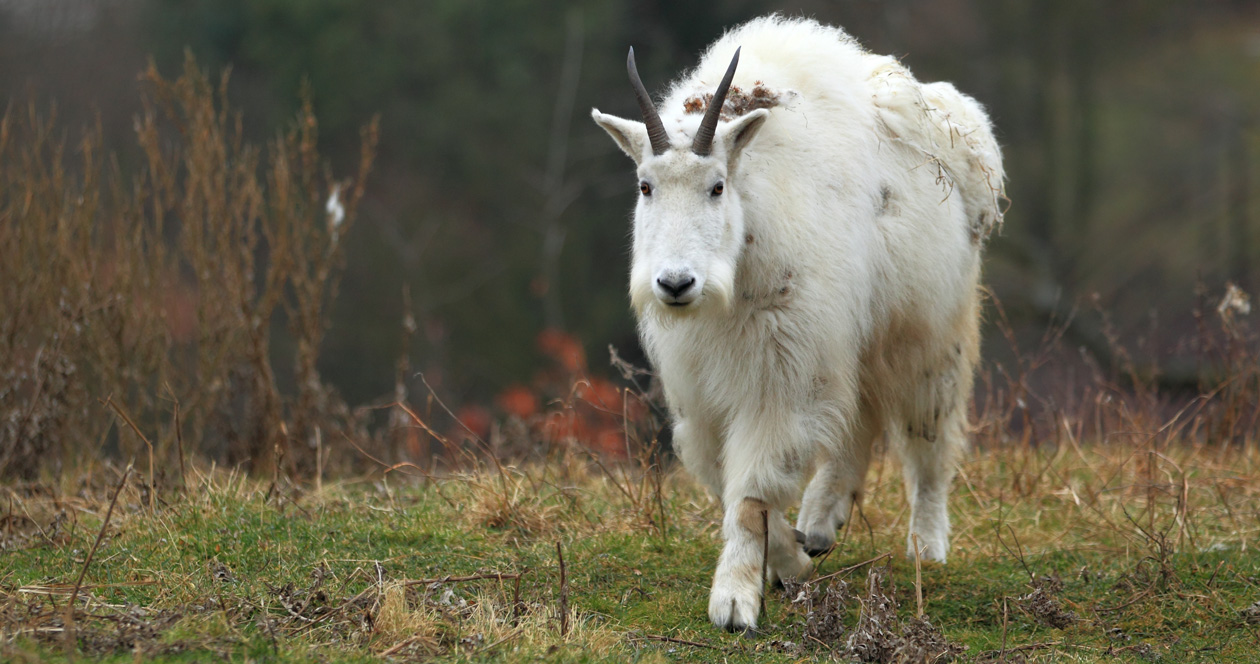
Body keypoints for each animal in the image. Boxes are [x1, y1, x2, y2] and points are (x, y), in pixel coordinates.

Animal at [591, 15, 1005, 632]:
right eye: (646, 186)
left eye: (717, 185)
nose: (675, 284)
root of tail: (965, 131)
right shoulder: (703, 389)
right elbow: (724, 480)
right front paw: (789, 563)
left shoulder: (784, 367)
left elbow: (753, 490)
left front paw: (735, 602)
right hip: (854, 341)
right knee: (857, 425)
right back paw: (819, 525)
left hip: (926, 333)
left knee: (928, 436)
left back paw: (926, 543)